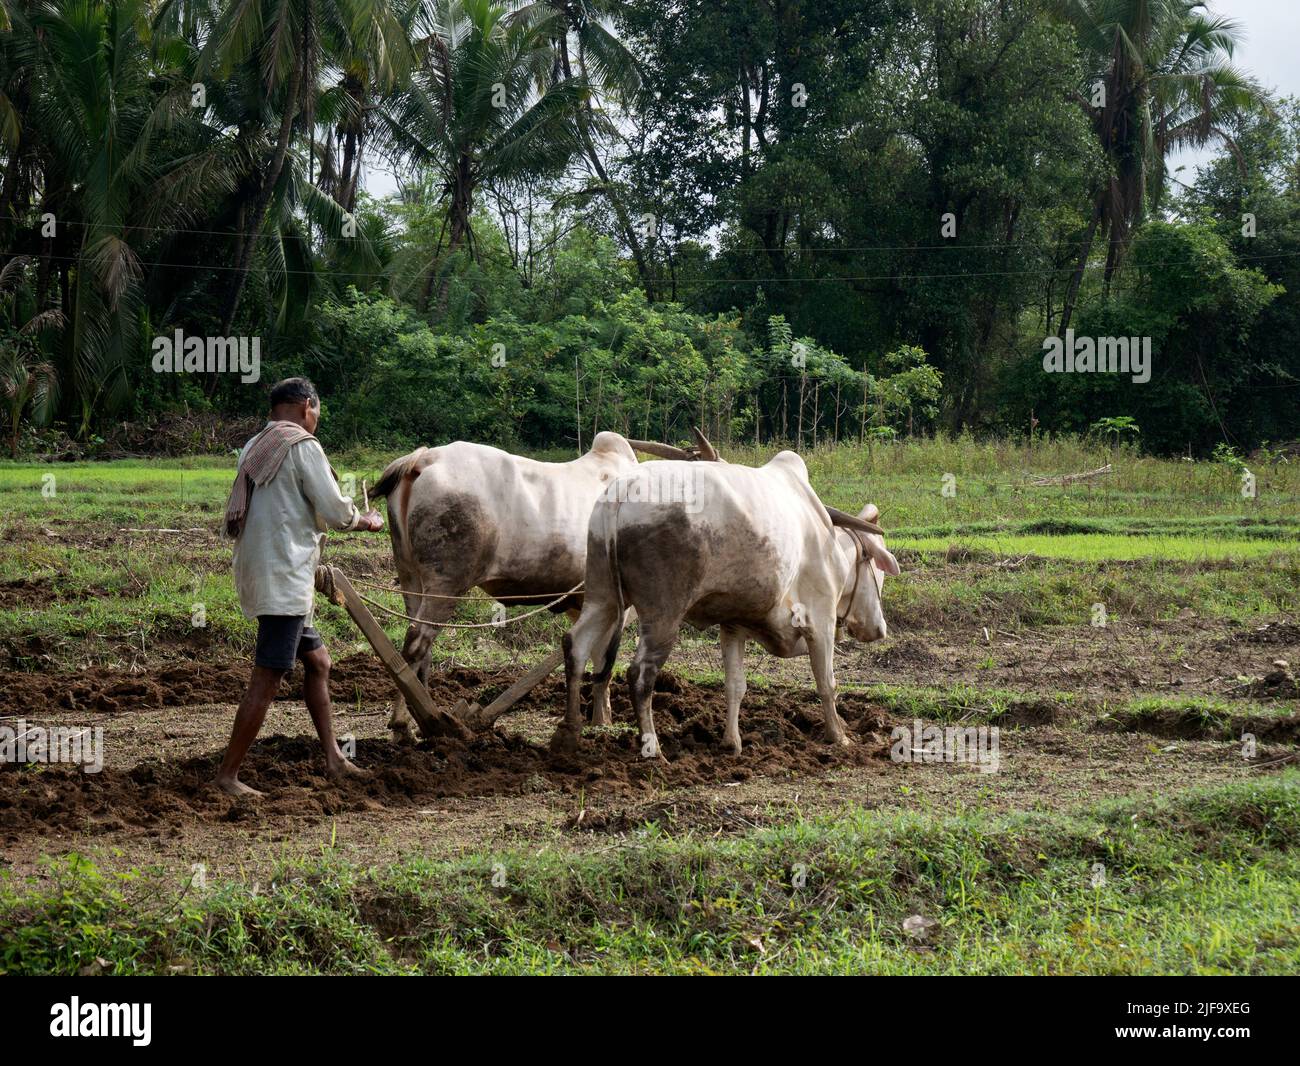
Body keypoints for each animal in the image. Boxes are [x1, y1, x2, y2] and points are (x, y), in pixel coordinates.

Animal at [371, 430, 716, 742]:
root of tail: (424, 459)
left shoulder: (583, 602)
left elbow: (591, 654)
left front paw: (598, 718)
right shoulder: (617, 604)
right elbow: (604, 660)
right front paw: (600, 721)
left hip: (410, 579)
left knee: (418, 647)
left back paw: (417, 721)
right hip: (446, 583)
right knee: (416, 643)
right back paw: (413, 722)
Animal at [553, 450, 899, 757]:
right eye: (878, 569)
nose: (880, 628)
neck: (828, 541)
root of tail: (623, 490)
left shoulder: (733, 625)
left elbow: (735, 685)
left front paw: (732, 742)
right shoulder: (820, 619)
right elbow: (827, 683)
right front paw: (838, 736)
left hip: (603, 596)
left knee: (575, 646)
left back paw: (569, 732)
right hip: (662, 613)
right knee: (640, 673)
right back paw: (653, 749)